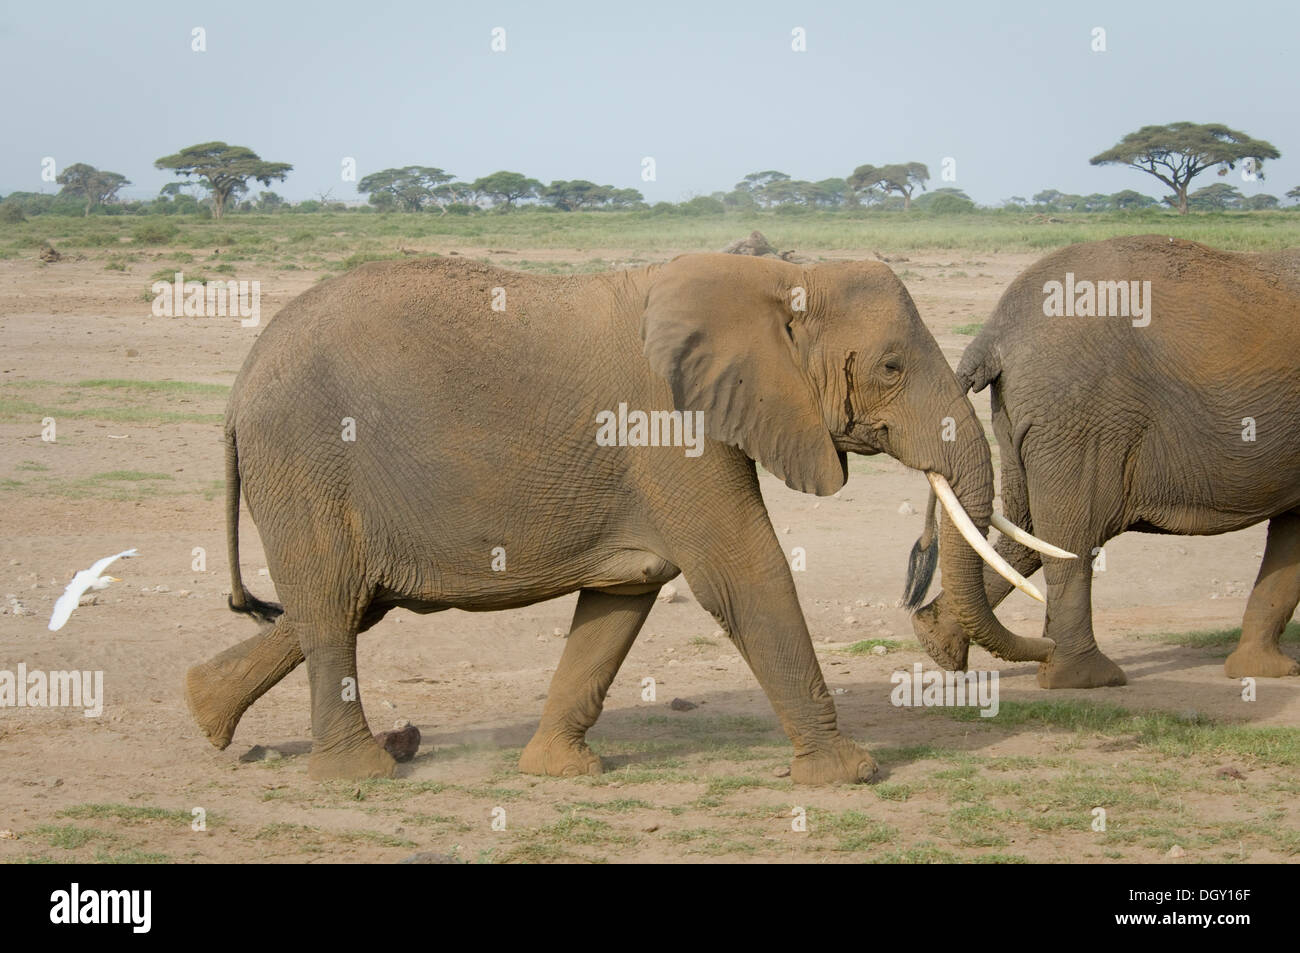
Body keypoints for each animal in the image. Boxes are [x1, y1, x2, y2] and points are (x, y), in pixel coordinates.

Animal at [184, 252, 1060, 783]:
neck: (778, 274)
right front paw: (852, 773)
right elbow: (745, 572)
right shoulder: (671, 430)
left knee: (343, 603)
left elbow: (624, 595)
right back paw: (361, 774)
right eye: (890, 365)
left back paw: (206, 713)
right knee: (334, 606)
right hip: (306, 460)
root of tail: (237, 388)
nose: (1049, 652)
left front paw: (558, 772)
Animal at [906, 235, 1300, 688]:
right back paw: (1087, 677)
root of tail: (992, 336)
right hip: (1083, 420)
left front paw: (1265, 671)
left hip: (1031, 417)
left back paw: (938, 641)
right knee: (1072, 536)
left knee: (1026, 530)